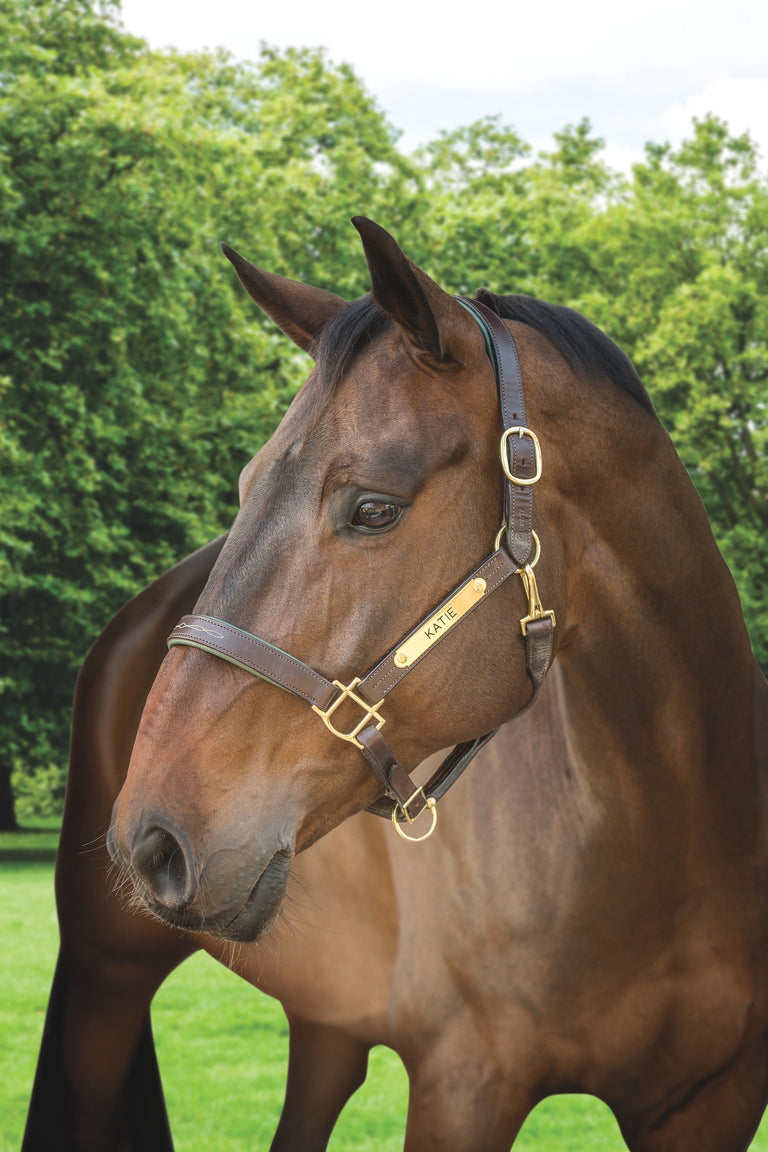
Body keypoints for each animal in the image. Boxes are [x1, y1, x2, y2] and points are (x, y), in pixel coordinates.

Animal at [32, 215, 768, 1150]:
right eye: (245, 485)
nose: (151, 839)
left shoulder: (713, 1102)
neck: (668, 839)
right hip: (105, 980)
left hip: (329, 1023)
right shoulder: (462, 1087)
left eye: (374, 508)